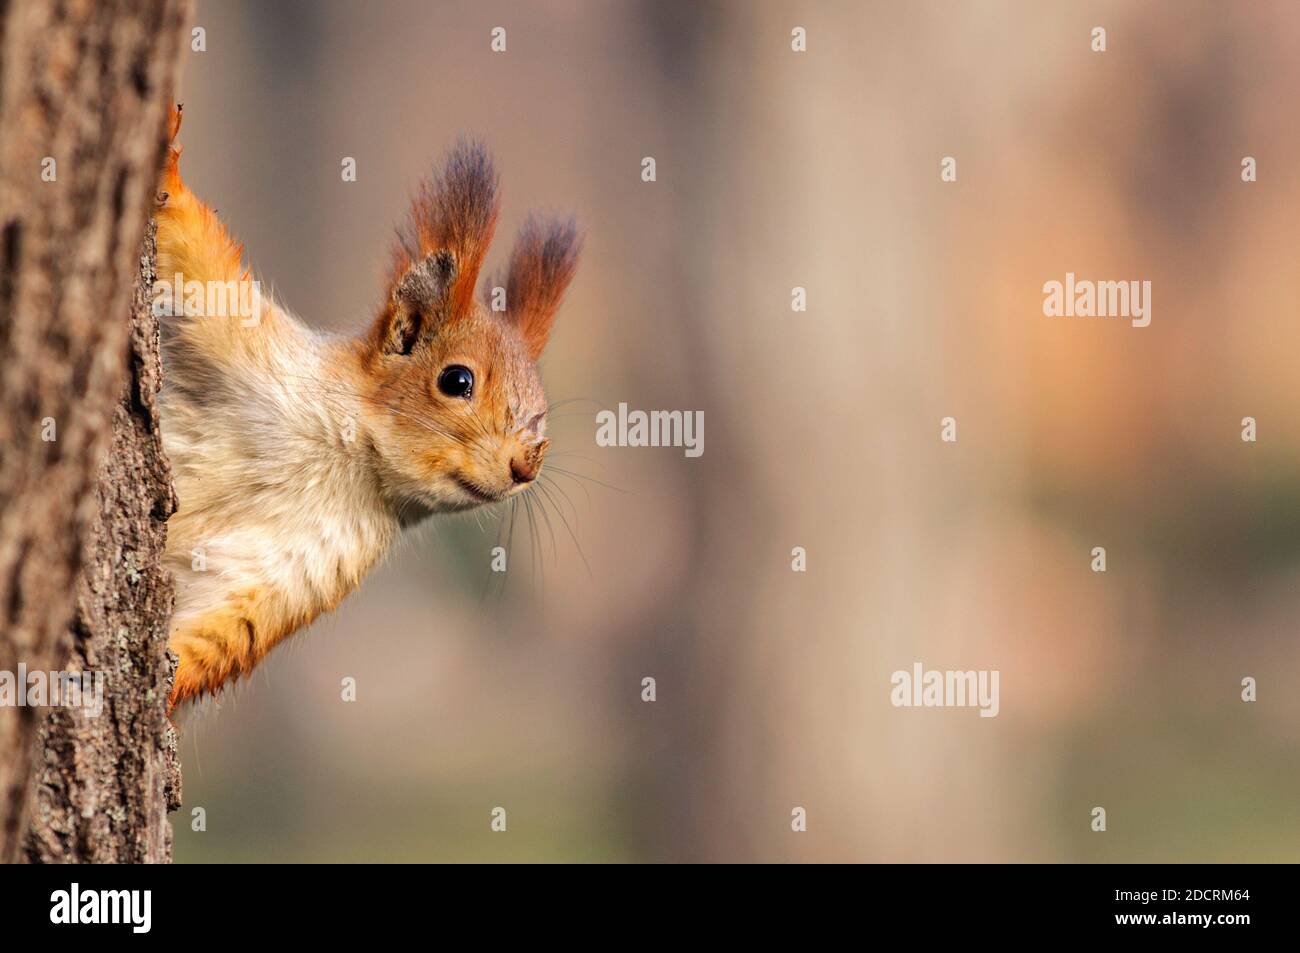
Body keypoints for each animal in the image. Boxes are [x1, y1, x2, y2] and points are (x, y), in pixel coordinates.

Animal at [154, 105, 580, 711]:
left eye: (542, 422)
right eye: (457, 380)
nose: (526, 467)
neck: (344, 459)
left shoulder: (301, 572)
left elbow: (224, 635)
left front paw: (166, 682)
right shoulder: (249, 350)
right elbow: (198, 263)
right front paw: (165, 153)